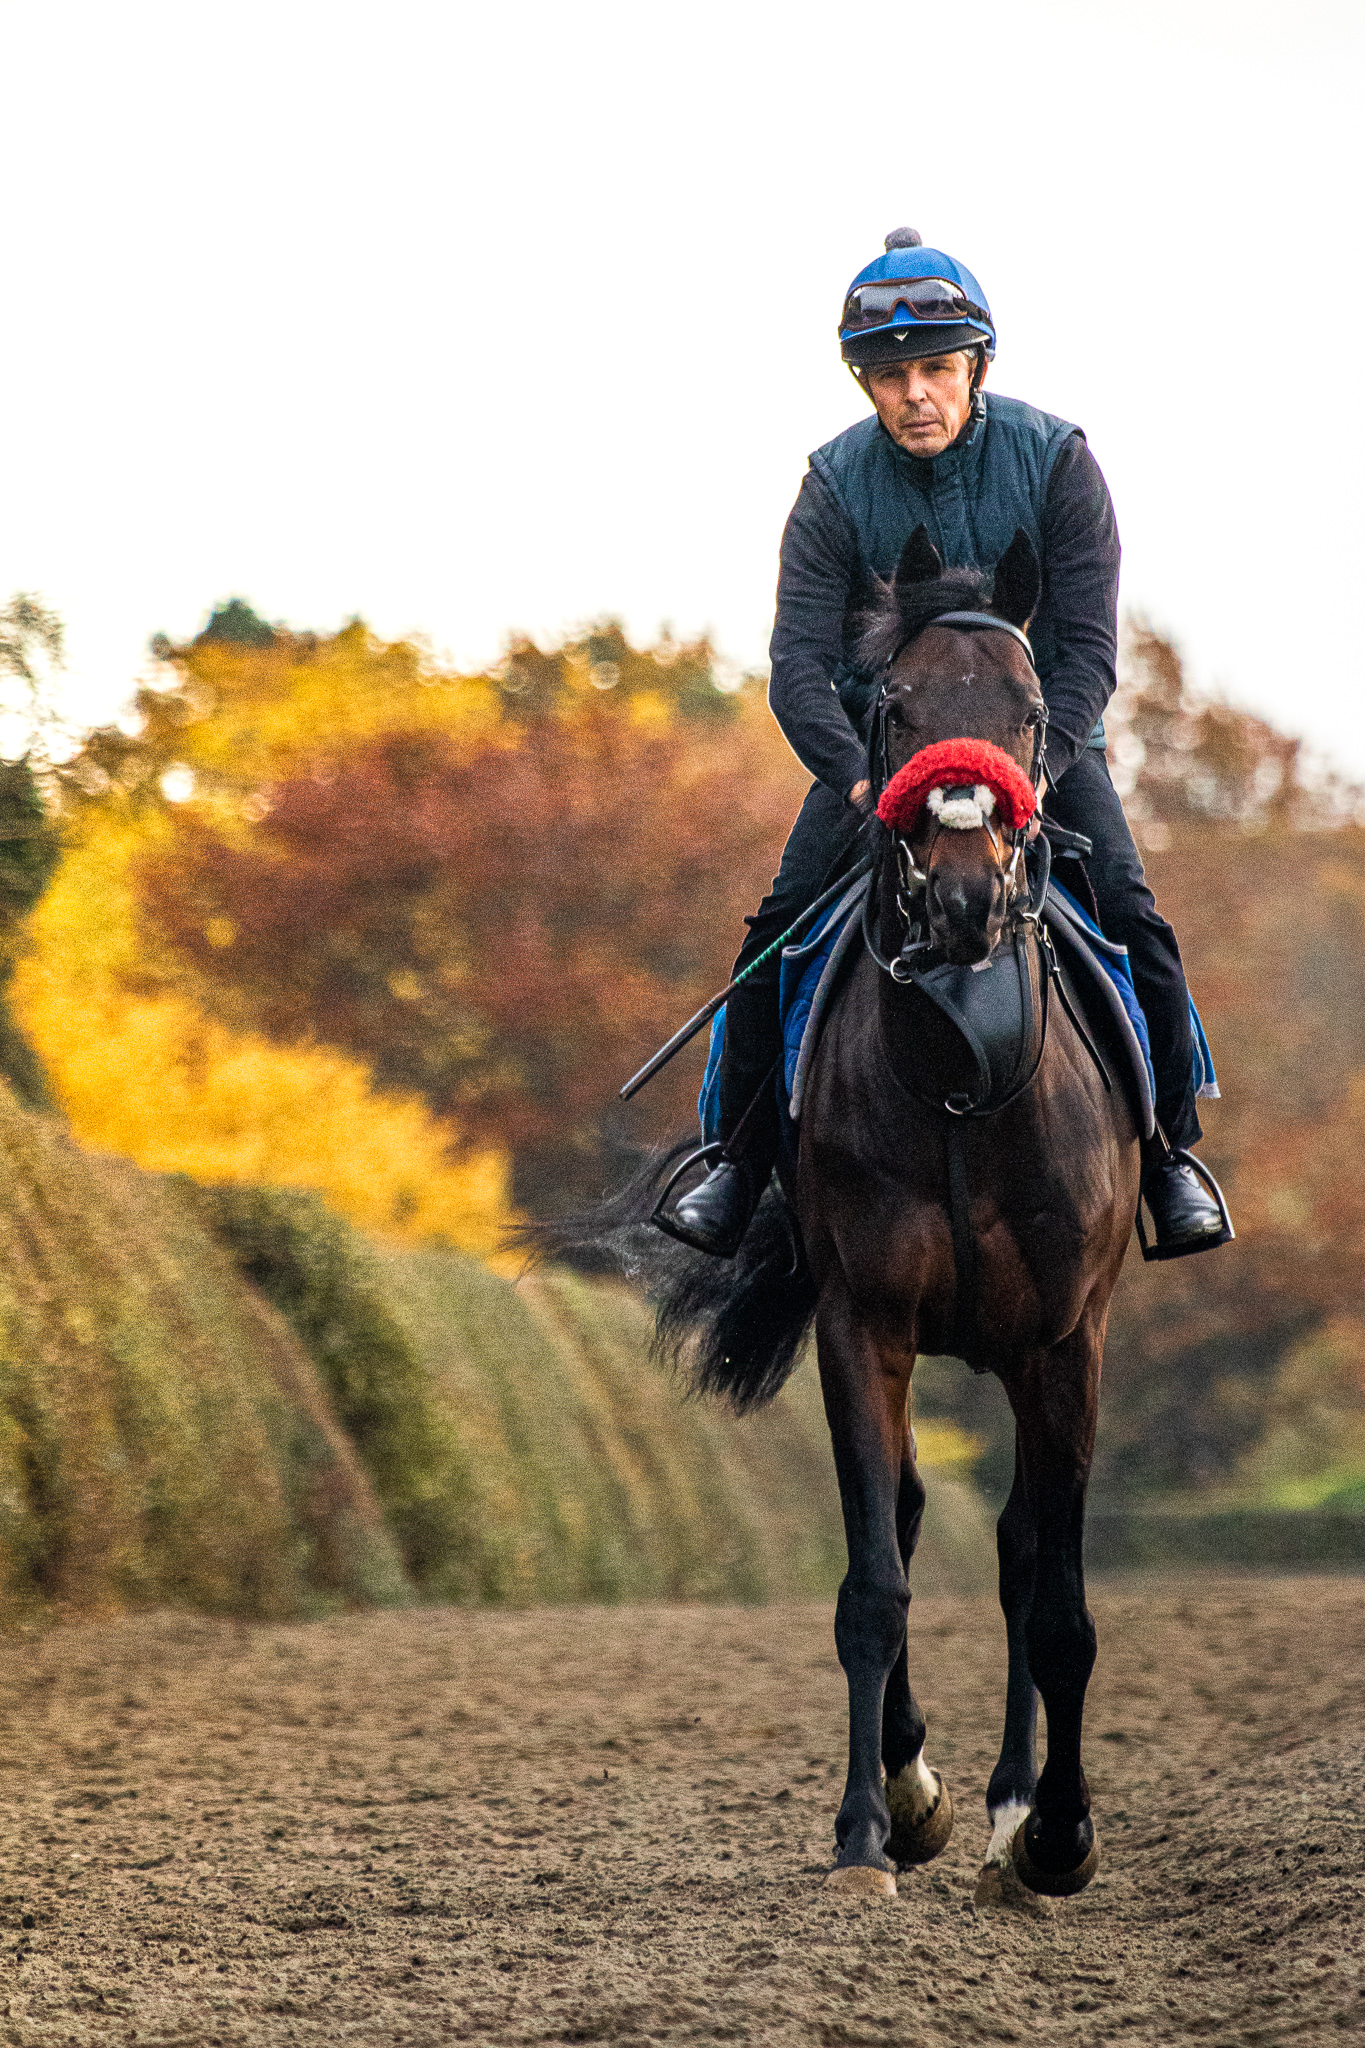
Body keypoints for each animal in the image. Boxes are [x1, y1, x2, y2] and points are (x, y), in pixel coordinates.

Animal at [520, 524, 1141, 1903]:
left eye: (1030, 713)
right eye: (892, 705)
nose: (963, 893)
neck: (963, 1067)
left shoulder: (1067, 1339)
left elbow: (1064, 1605)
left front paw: (1061, 1831)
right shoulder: (866, 1322)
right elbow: (876, 1577)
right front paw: (874, 1822)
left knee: (1023, 1550)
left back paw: (1017, 1804)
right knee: (920, 1520)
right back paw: (932, 1792)